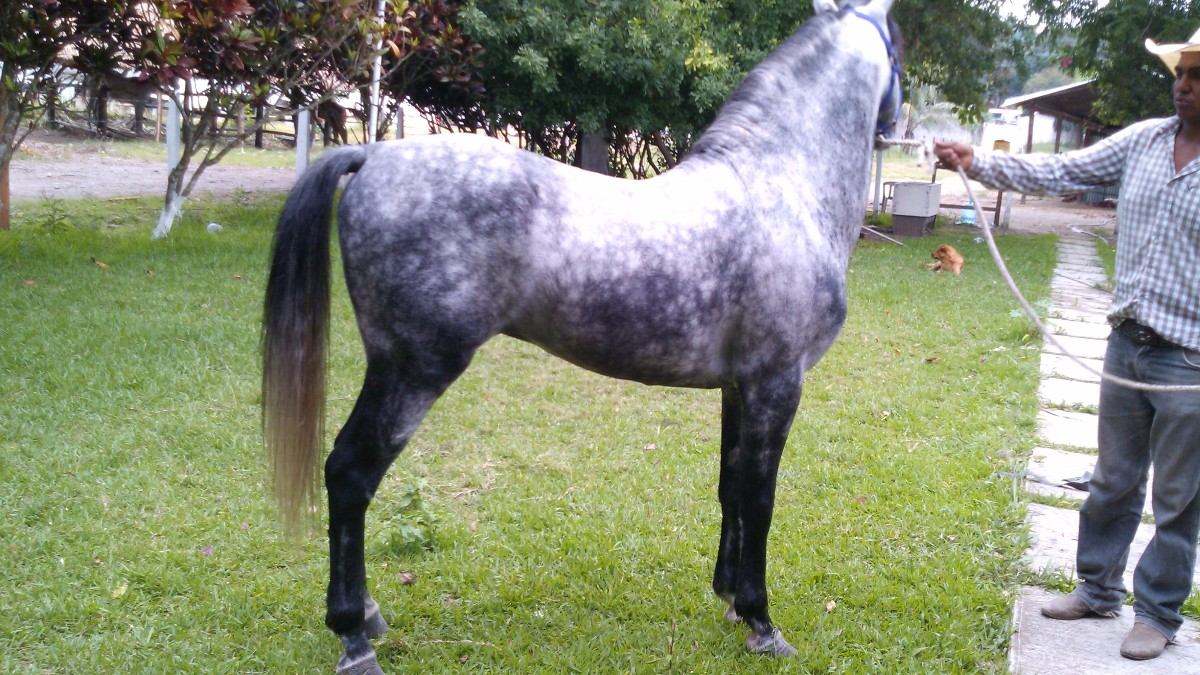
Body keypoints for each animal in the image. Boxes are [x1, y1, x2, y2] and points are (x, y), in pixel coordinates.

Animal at [262, 1, 902, 671]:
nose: (895, 123)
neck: (780, 187)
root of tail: (373, 158)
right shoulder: (777, 385)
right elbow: (760, 500)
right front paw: (761, 622)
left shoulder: (740, 387)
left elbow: (730, 488)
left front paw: (729, 599)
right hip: (412, 370)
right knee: (349, 474)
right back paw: (355, 635)